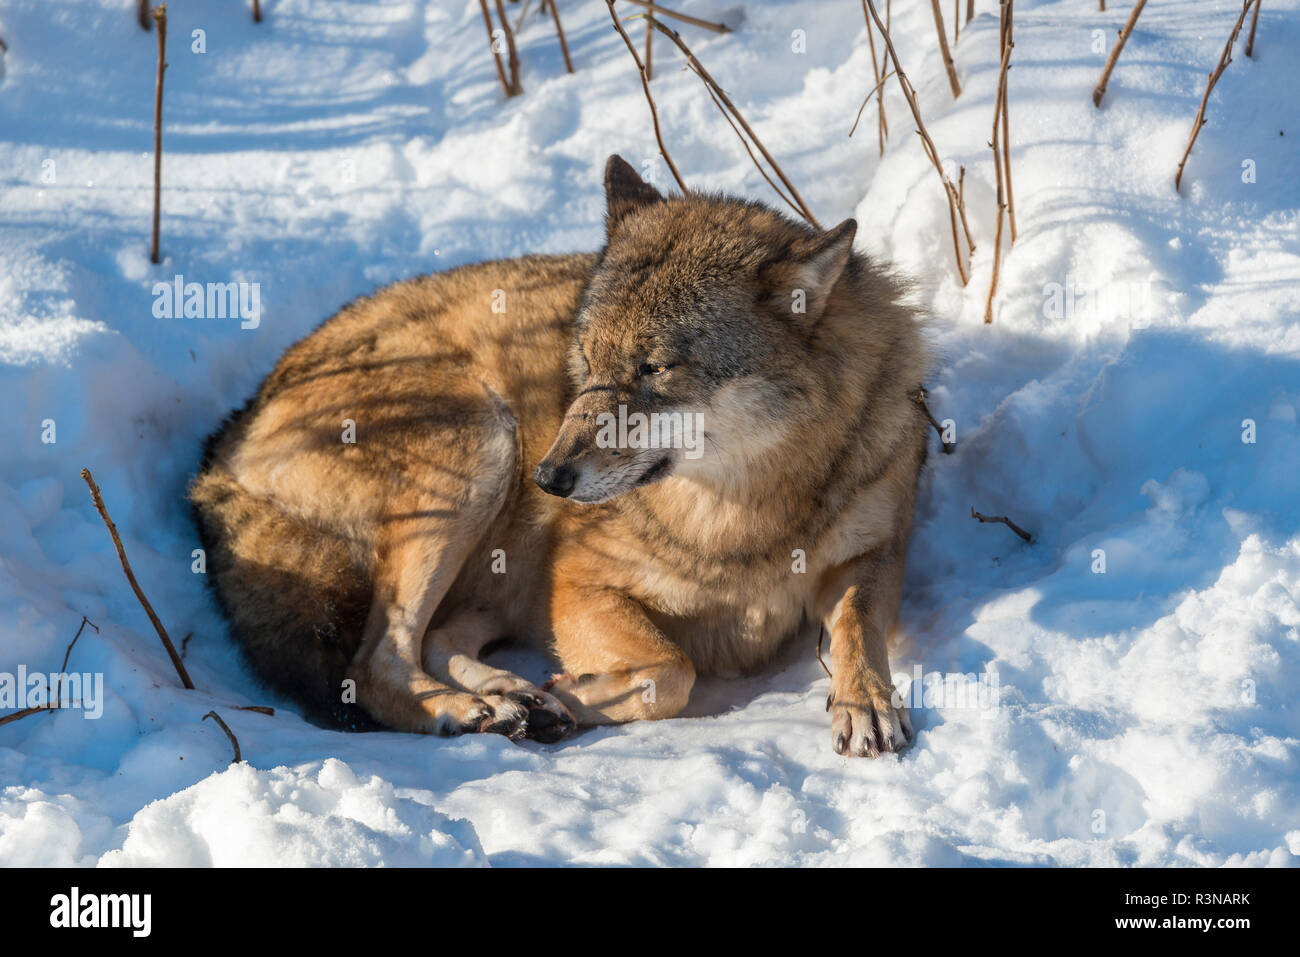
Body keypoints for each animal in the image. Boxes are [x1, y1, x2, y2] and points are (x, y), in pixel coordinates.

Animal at [190, 156, 930, 756]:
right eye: (589, 360)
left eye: (652, 368)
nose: (548, 478)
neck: (749, 511)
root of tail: (219, 452)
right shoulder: (577, 580)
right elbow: (673, 673)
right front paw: (573, 697)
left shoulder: (874, 553)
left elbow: (858, 626)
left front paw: (866, 701)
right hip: (481, 446)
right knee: (373, 663)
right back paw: (479, 708)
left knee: (434, 639)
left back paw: (513, 696)